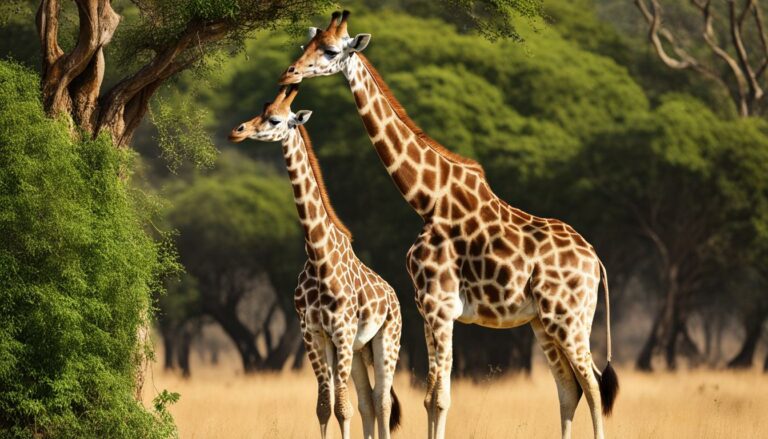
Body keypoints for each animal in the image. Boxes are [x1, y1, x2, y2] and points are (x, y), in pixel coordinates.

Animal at [229, 85, 403, 439]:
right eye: (260, 109)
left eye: (275, 119)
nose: (237, 131)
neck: (318, 255)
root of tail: (394, 296)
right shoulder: (312, 333)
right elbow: (325, 407)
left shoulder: (342, 332)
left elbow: (342, 408)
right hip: (359, 349)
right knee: (368, 401)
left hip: (387, 338)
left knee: (382, 401)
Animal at [278, 11, 620, 439]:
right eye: (307, 42)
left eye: (329, 50)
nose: (289, 73)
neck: (427, 200)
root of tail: (597, 262)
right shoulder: (428, 307)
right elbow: (433, 396)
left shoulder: (439, 305)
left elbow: (436, 397)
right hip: (543, 321)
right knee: (569, 388)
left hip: (569, 316)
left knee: (593, 385)